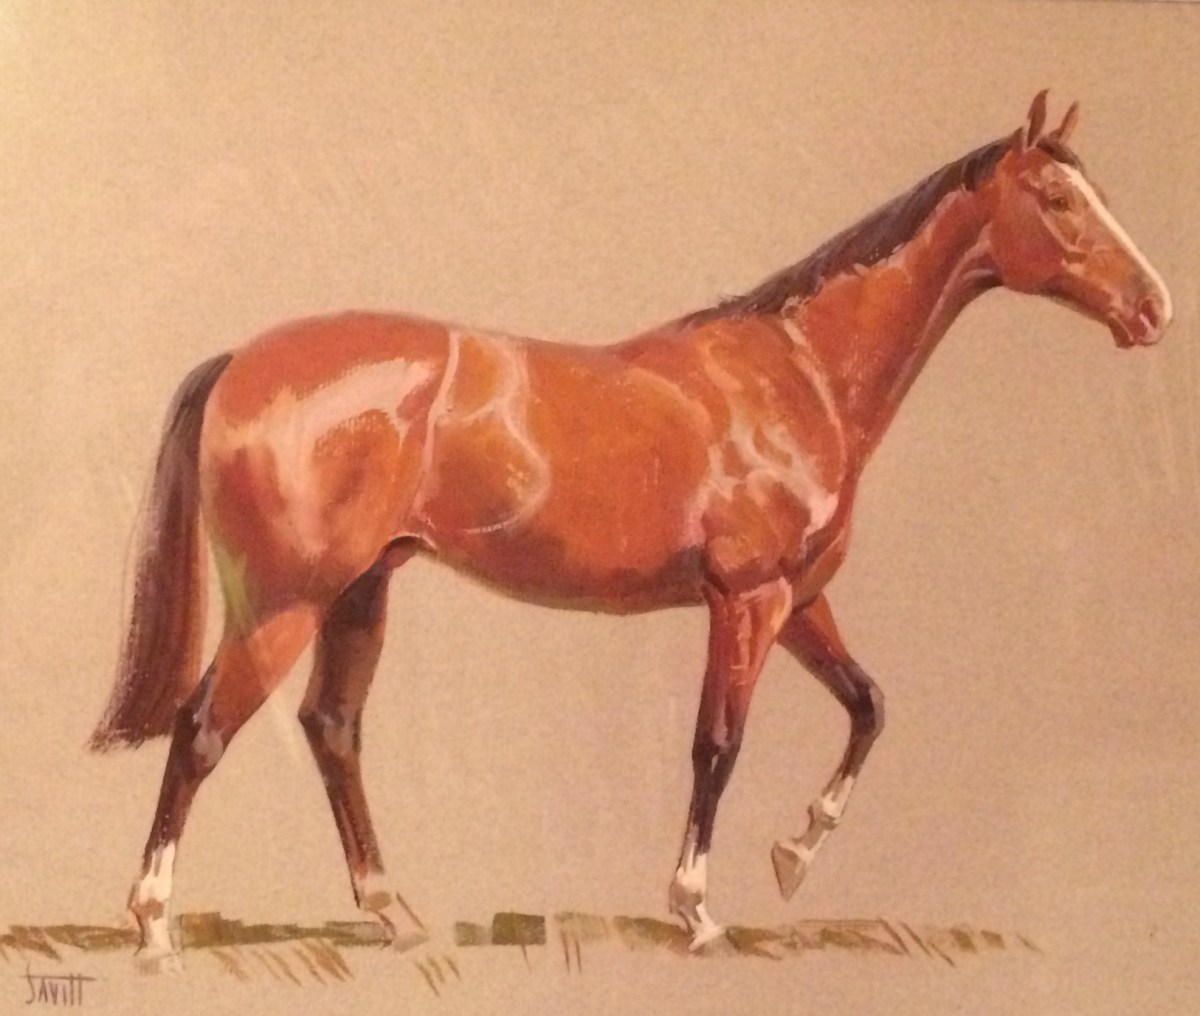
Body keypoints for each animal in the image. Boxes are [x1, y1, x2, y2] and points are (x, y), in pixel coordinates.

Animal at [90, 92, 1171, 958]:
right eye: (1061, 200)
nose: (1154, 307)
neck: (798, 372)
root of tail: (242, 360)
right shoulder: (746, 600)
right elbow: (718, 744)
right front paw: (697, 910)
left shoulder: (798, 599)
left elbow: (868, 706)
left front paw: (793, 854)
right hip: (284, 604)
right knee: (201, 729)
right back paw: (153, 924)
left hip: (360, 590)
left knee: (332, 728)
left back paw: (390, 912)